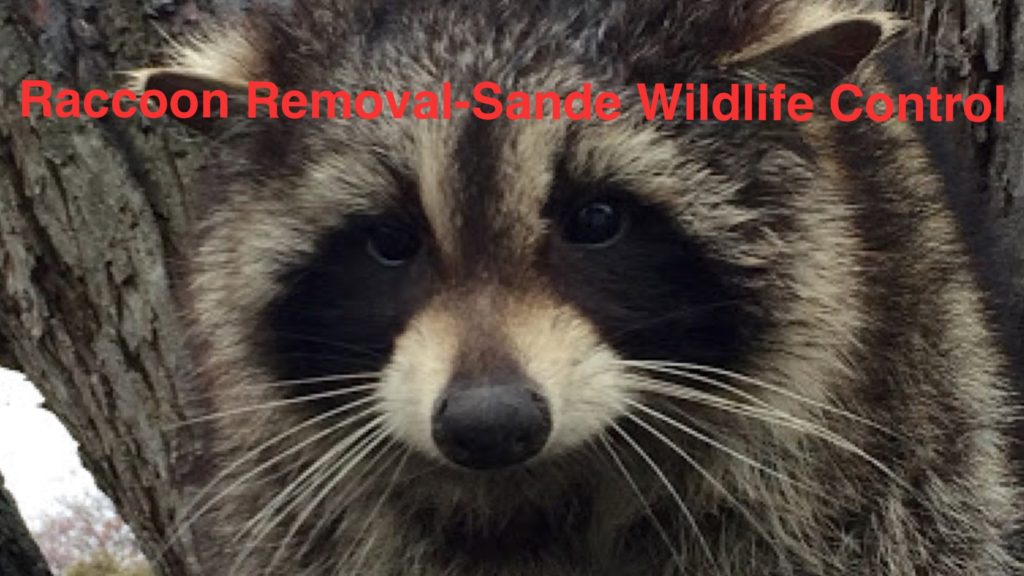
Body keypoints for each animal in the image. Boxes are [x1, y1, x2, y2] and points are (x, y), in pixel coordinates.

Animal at [141, 1, 1021, 575]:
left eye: (596, 219)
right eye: (390, 241)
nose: (489, 423)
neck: (553, 481)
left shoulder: (884, 419)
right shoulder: (293, 495)